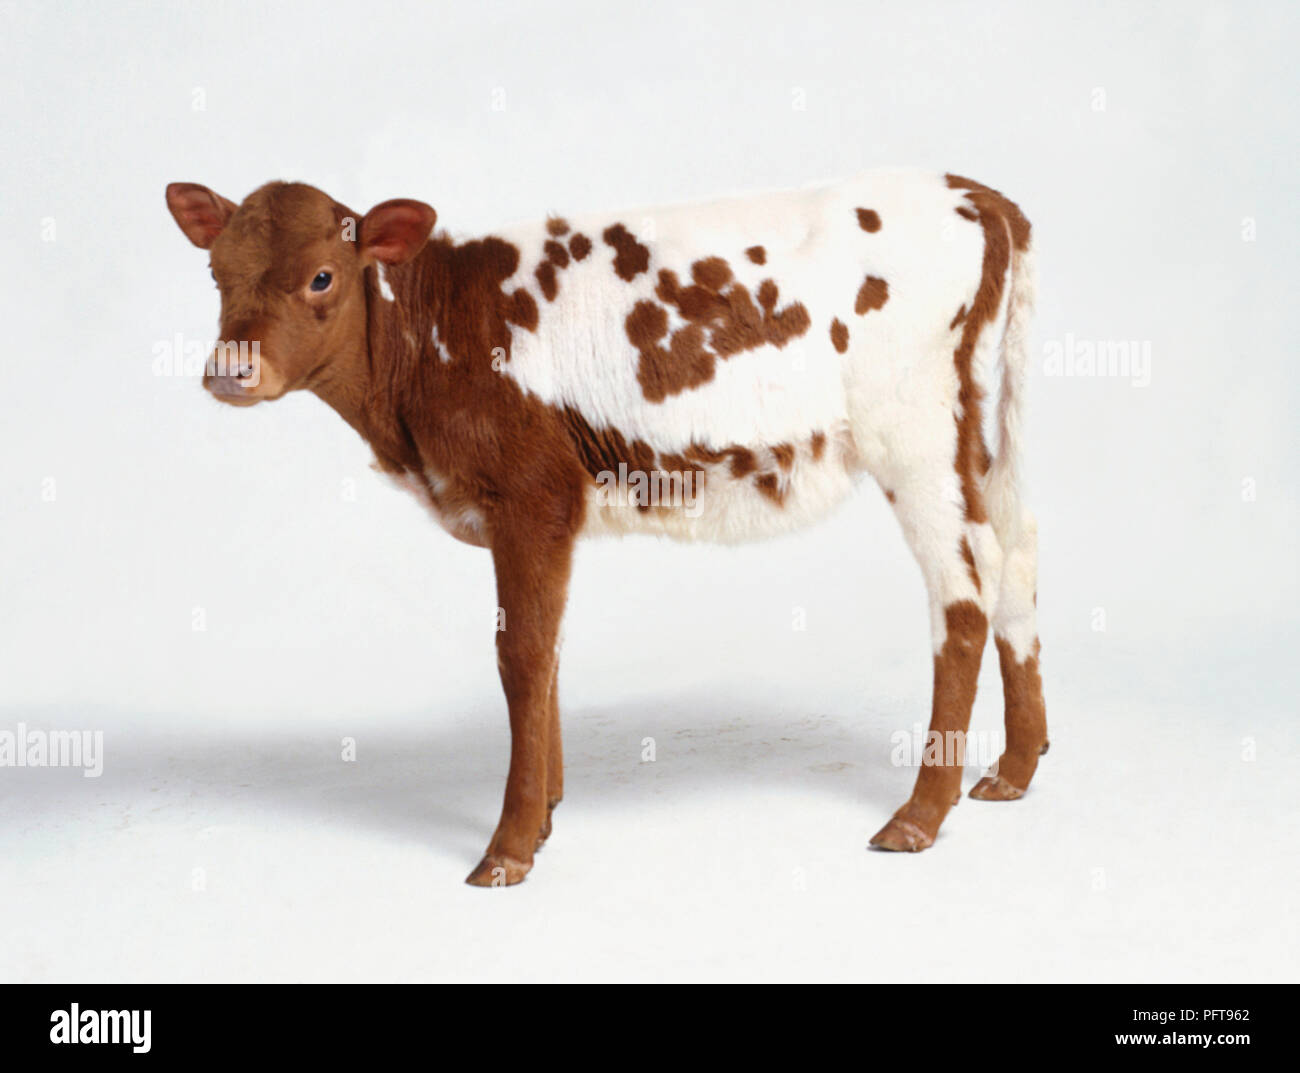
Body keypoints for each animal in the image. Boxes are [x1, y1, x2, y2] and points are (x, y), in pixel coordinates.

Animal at [165, 169, 1048, 886]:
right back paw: (1014, 766)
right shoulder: (549, 516)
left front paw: (510, 845)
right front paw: (549, 810)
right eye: (214, 272)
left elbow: (521, 656)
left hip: (914, 435)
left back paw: (919, 814)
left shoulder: (532, 497)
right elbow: (550, 648)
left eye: (322, 276)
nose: (229, 371)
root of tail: (972, 190)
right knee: (1015, 556)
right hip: (972, 439)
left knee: (962, 596)